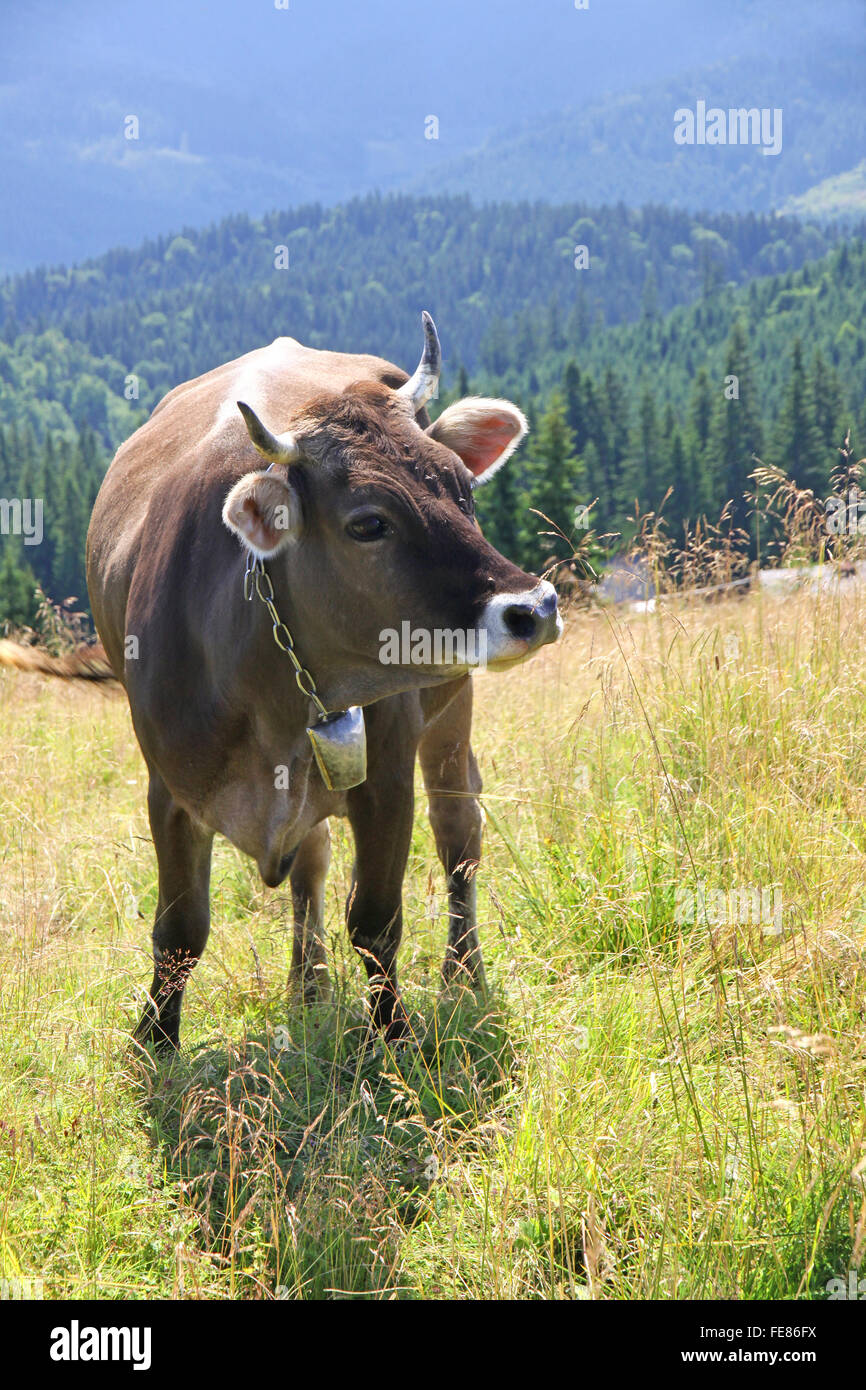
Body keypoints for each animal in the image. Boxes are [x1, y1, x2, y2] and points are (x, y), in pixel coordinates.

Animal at [20, 315, 562, 1049]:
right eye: (368, 522)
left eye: (464, 490)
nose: (533, 607)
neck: (271, 687)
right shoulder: (170, 788)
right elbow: (179, 930)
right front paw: (154, 1042)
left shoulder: (386, 771)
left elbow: (376, 919)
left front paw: (393, 1035)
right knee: (311, 864)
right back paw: (307, 985)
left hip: (450, 705)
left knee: (458, 832)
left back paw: (462, 971)